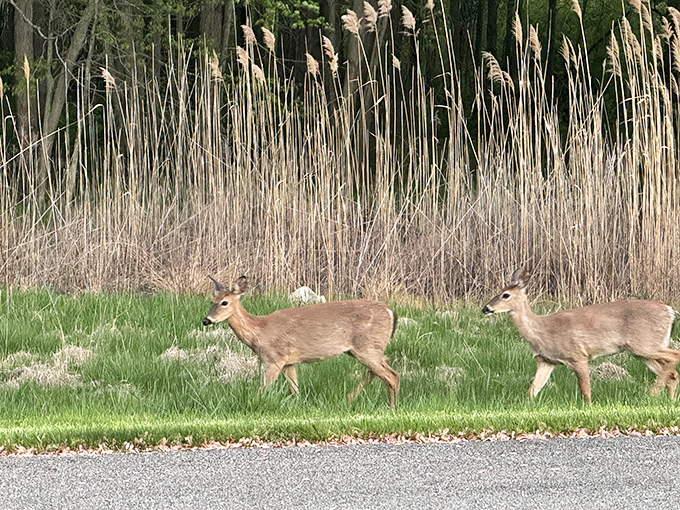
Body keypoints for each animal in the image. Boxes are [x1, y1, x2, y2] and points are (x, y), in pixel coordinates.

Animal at [201, 276, 400, 408]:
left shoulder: (274, 358)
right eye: (212, 301)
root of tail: (391, 312)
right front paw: (299, 407)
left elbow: (262, 389)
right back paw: (348, 399)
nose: (206, 320)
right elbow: (295, 389)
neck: (259, 331)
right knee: (381, 369)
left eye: (224, 302)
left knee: (392, 376)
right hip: (365, 349)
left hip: (366, 347)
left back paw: (391, 408)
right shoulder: (289, 361)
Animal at [482, 269, 680, 404]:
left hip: (644, 344)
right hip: (643, 351)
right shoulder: (546, 360)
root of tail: (670, 311)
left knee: (674, 356)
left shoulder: (578, 355)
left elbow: (586, 391)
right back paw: (667, 400)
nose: (486, 308)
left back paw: (652, 393)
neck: (542, 331)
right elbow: (533, 389)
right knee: (672, 373)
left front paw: (589, 407)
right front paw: (525, 406)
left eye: (505, 295)